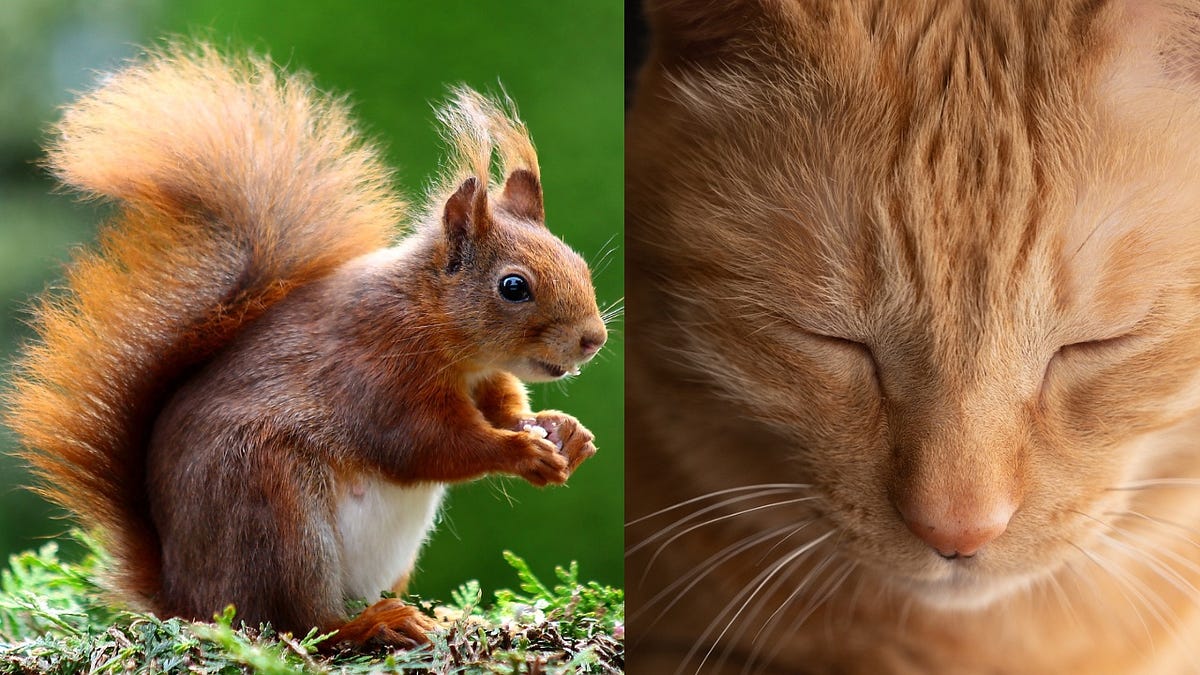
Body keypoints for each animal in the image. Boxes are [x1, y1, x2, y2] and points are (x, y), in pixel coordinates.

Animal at [4, 43, 607, 647]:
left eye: (577, 262)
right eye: (514, 287)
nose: (593, 340)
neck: (437, 326)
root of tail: (185, 596)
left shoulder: (484, 377)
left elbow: (504, 407)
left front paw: (564, 432)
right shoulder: (378, 372)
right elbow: (428, 445)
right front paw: (521, 451)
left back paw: (440, 616)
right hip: (277, 515)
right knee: (299, 622)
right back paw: (374, 624)